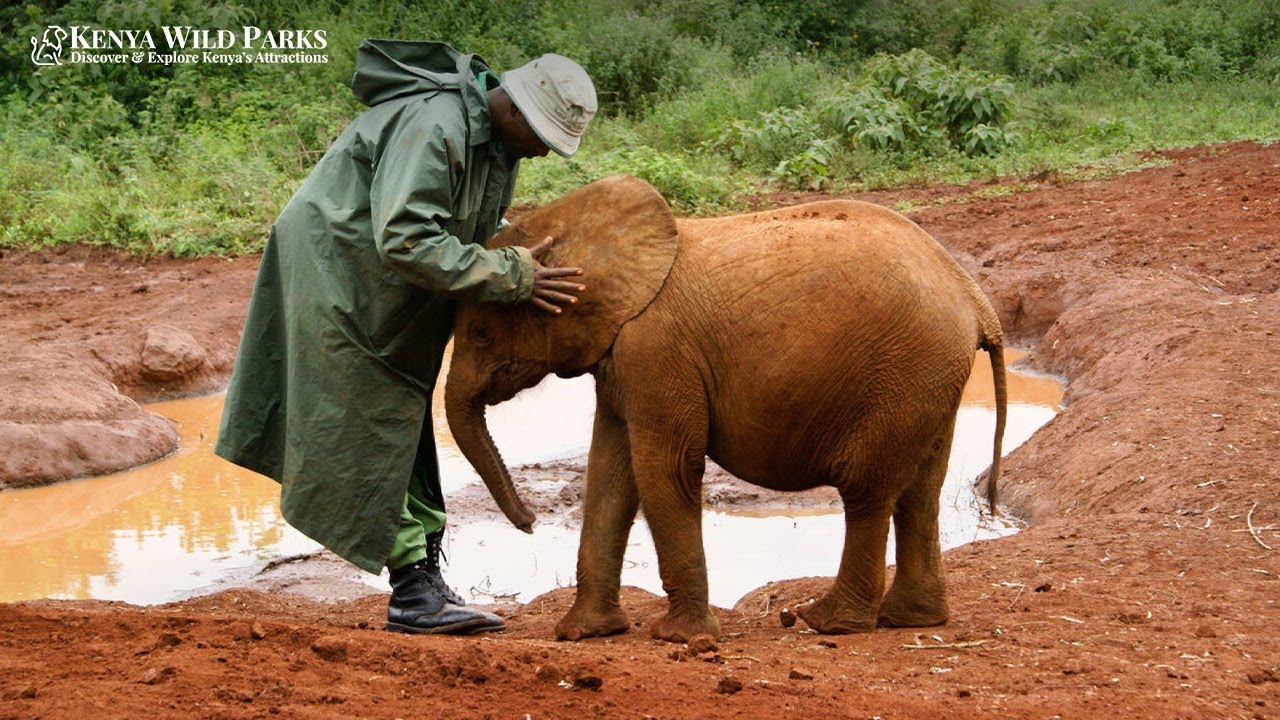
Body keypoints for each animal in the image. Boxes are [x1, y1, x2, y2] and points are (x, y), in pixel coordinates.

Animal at [444, 175, 1007, 642]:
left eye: (481, 333)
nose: (530, 523)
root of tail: (975, 298)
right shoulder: (624, 356)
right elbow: (609, 471)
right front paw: (581, 634)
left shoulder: (656, 350)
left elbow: (665, 468)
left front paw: (681, 638)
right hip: (927, 377)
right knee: (920, 492)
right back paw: (910, 620)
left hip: (904, 370)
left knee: (868, 490)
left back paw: (828, 623)